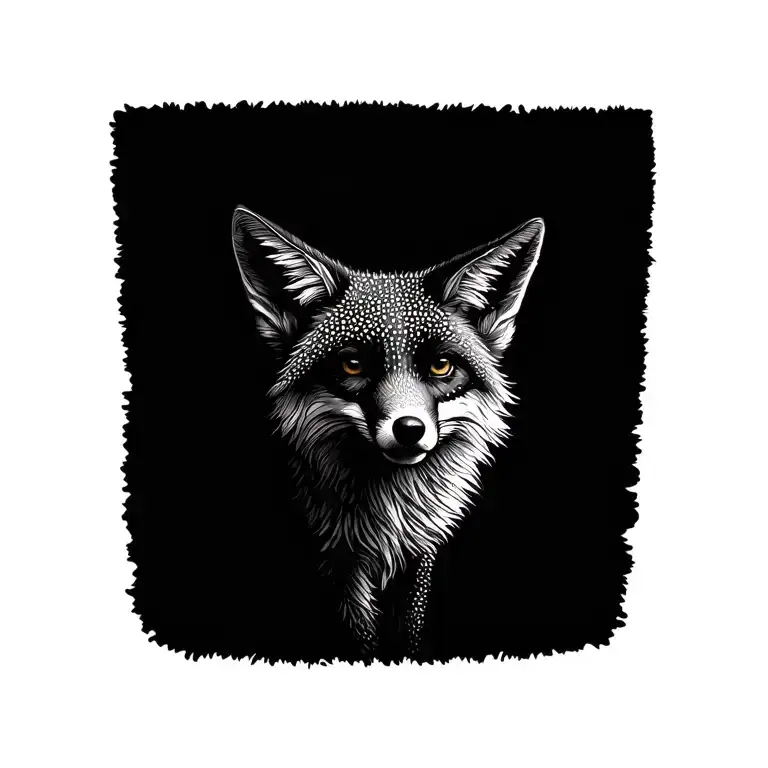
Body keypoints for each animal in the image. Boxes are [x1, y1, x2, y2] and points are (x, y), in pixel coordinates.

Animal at [231, 206, 544, 660]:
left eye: (440, 366)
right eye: (353, 365)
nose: (409, 429)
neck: (387, 517)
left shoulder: (417, 555)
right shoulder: (340, 563)